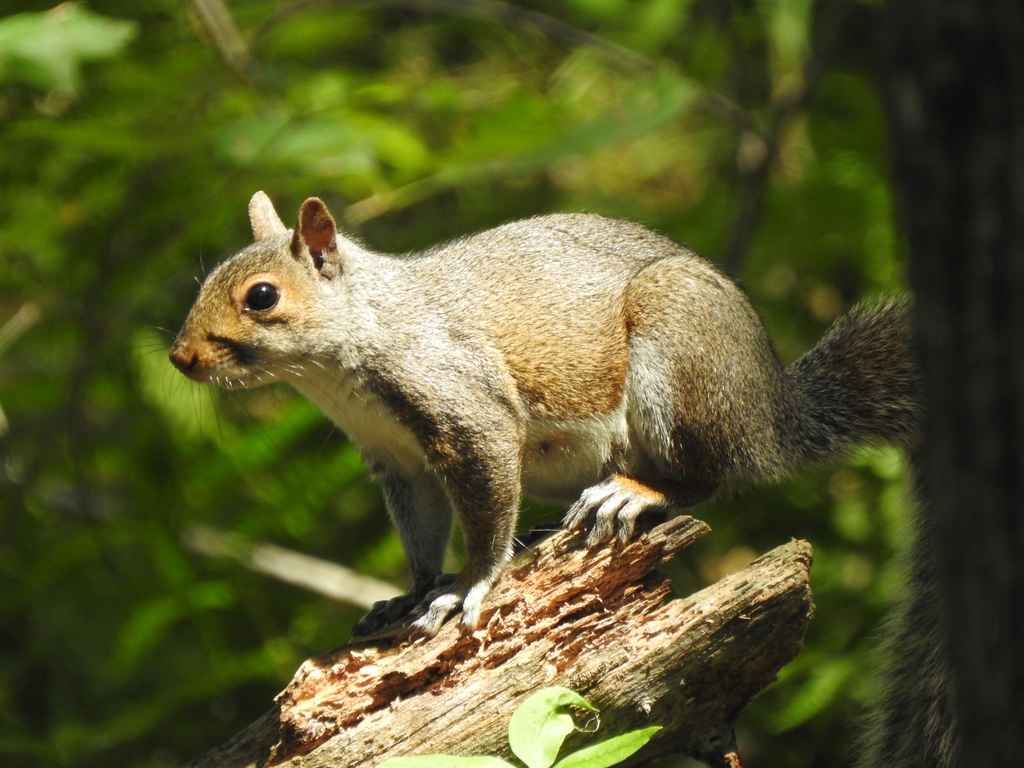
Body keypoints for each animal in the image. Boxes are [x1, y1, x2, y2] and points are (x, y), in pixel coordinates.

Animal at [170, 191, 919, 637]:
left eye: (261, 296)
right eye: (204, 282)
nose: (180, 357)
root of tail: (773, 414)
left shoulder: (466, 408)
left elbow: (484, 508)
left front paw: (468, 585)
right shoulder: (398, 462)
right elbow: (421, 529)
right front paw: (412, 592)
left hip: (681, 355)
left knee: (704, 477)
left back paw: (632, 492)